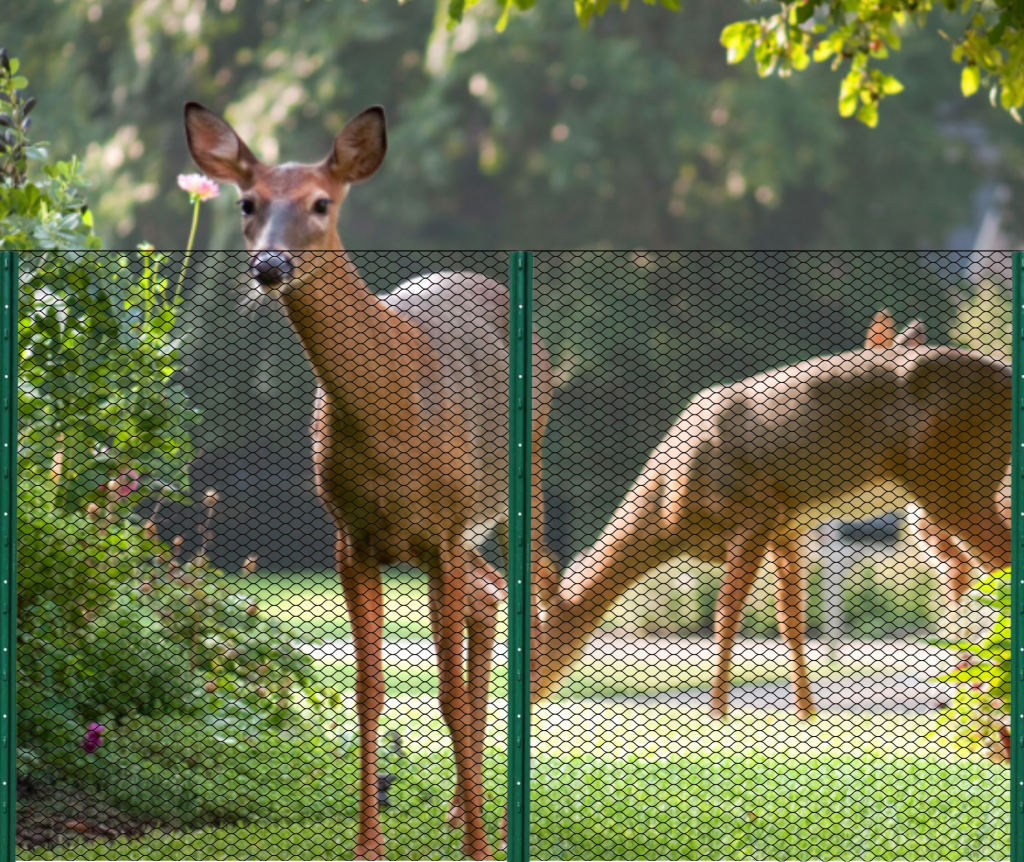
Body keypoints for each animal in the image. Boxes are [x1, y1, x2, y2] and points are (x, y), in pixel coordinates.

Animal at [184, 102, 558, 860]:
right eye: (247, 202)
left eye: (321, 204)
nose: (270, 265)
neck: (388, 414)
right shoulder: (351, 536)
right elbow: (369, 689)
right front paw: (368, 844)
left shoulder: (440, 531)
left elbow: (445, 694)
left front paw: (479, 849)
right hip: (458, 533)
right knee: (490, 596)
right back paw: (460, 807)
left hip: (519, 479)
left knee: (537, 593)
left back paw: (496, 818)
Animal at [532, 310, 1011, 719]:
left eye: (533, 635)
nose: (531, 690)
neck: (668, 513)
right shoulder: (788, 526)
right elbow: (791, 621)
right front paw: (805, 714)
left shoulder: (754, 510)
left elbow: (726, 615)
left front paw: (718, 714)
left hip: (951, 478)